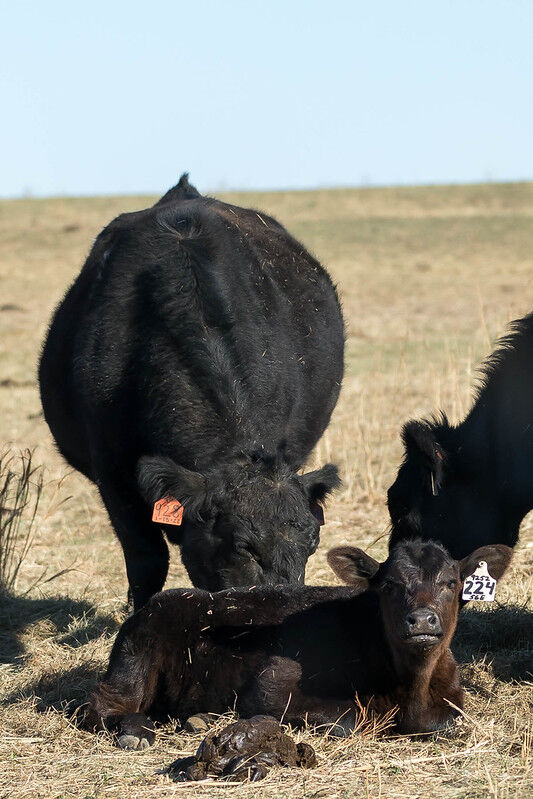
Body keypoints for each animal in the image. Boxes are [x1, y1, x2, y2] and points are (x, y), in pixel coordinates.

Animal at [83, 539, 512, 746]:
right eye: (389, 585)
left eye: (451, 582)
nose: (422, 619)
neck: (413, 688)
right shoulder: (273, 685)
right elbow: (347, 721)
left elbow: (447, 721)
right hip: (136, 661)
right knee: (104, 703)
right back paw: (136, 732)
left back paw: (198, 719)